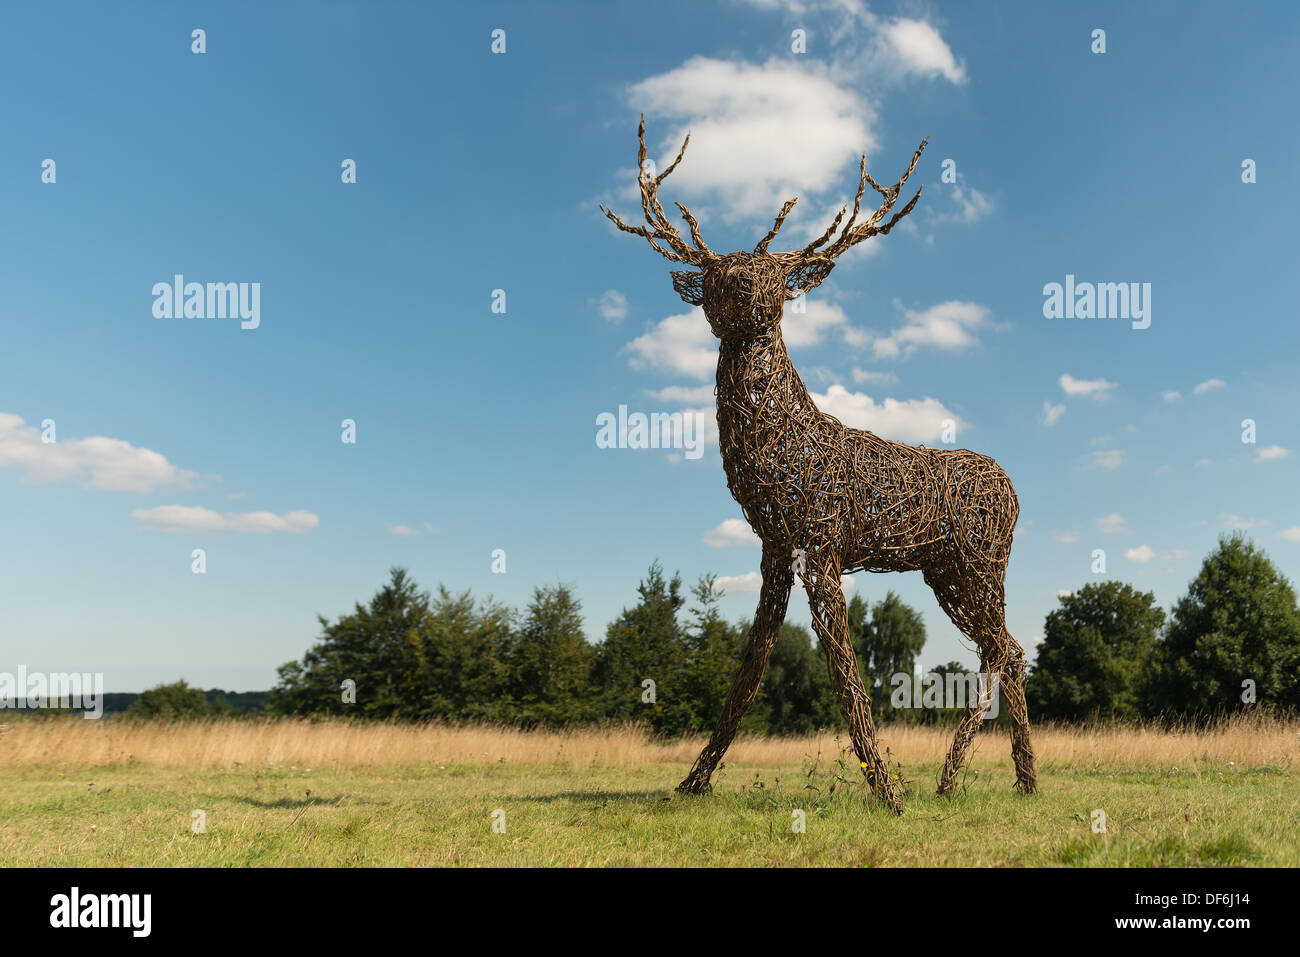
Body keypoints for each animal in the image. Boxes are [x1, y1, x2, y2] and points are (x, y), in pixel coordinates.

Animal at [601, 116, 1037, 813]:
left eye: (771, 277)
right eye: (720, 275)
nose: (744, 291)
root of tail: (1015, 491)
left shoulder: (823, 540)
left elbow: (843, 670)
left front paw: (887, 792)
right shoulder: (776, 549)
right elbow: (749, 670)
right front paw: (691, 782)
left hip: (979, 562)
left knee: (1003, 648)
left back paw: (955, 776)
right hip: (945, 570)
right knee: (1011, 648)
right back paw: (1019, 780)